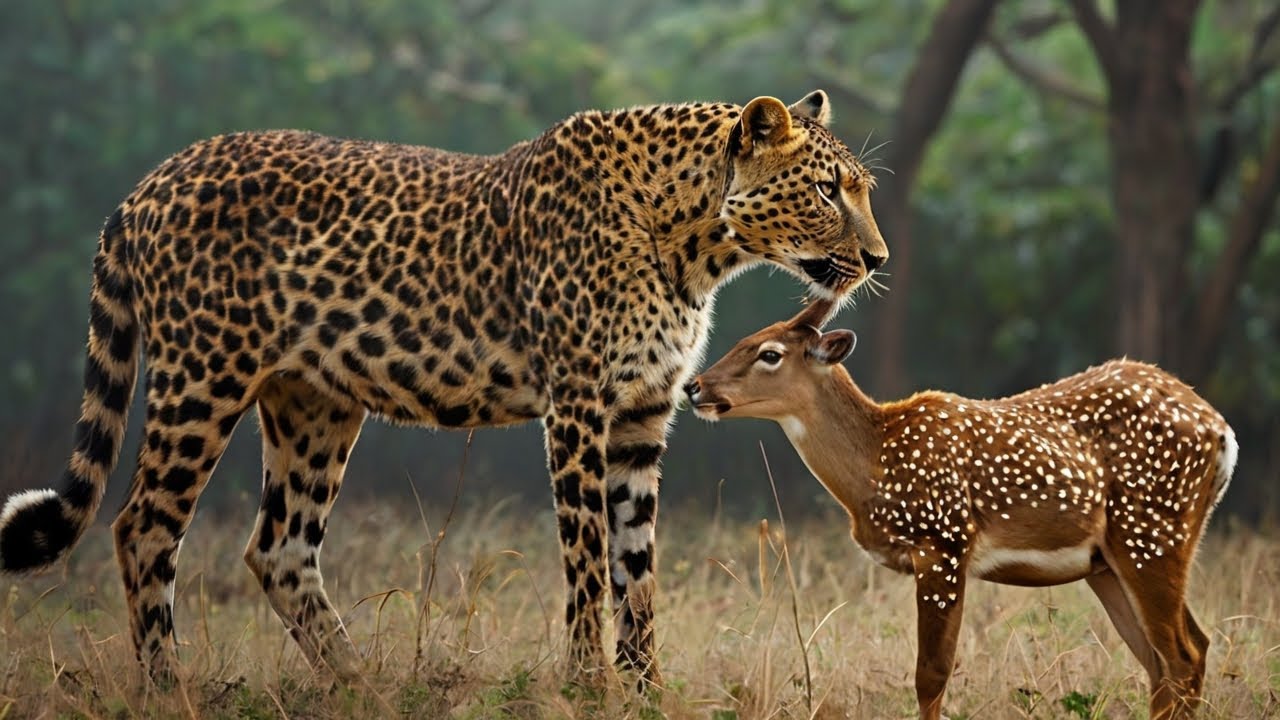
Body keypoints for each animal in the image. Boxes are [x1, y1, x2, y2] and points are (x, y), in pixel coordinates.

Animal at [0, 90, 887, 687]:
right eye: (825, 190)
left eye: (863, 189)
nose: (877, 258)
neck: (697, 240)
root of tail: (147, 183)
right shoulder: (579, 405)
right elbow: (587, 560)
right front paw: (589, 687)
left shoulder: (642, 411)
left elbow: (638, 570)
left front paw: (645, 691)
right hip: (202, 378)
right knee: (144, 524)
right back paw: (169, 689)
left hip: (315, 404)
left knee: (280, 547)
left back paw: (361, 688)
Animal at [684, 300, 1237, 720]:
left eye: (769, 353)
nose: (695, 387)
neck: (878, 464)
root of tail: (1222, 430)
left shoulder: (944, 540)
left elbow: (931, 675)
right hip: (1109, 562)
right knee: (1172, 657)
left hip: (1152, 531)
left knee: (1182, 655)